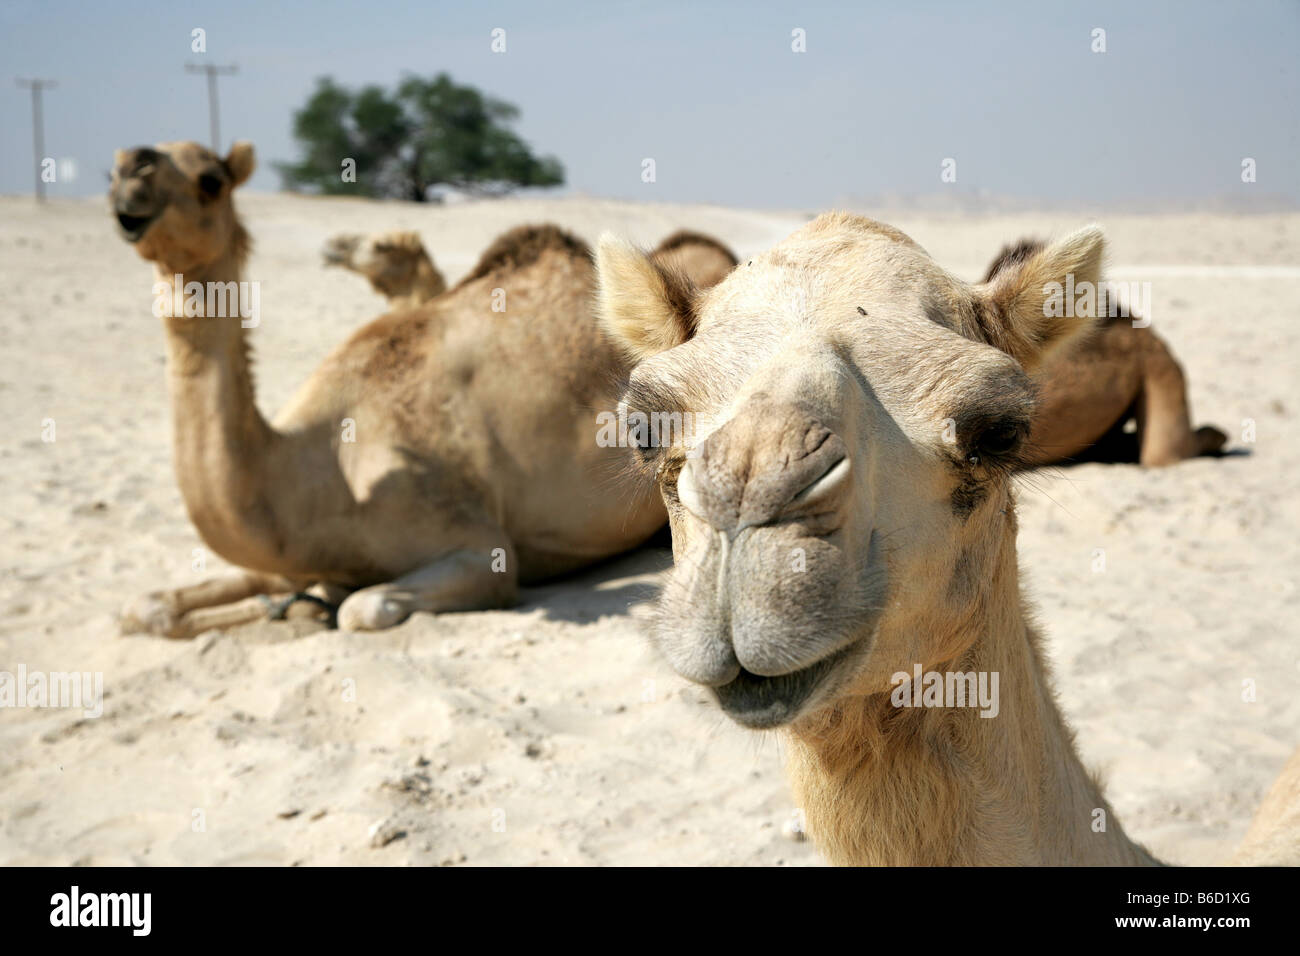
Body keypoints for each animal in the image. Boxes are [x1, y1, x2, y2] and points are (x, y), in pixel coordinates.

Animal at [109, 139, 666, 638]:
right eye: (118, 167)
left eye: (211, 180)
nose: (130, 168)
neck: (319, 474)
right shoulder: (292, 558)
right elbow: (146, 606)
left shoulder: (481, 549)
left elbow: (361, 608)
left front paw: (316, 605)